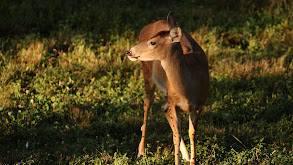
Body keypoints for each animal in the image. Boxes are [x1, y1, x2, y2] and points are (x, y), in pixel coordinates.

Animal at [124, 12, 209, 164]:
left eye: (153, 42)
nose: (128, 51)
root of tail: (146, 27)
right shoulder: (174, 102)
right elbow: (176, 136)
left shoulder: (199, 105)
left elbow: (191, 134)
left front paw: (192, 160)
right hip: (147, 73)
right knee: (147, 104)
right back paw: (140, 152)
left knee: (162, 107)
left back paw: (186, 155)